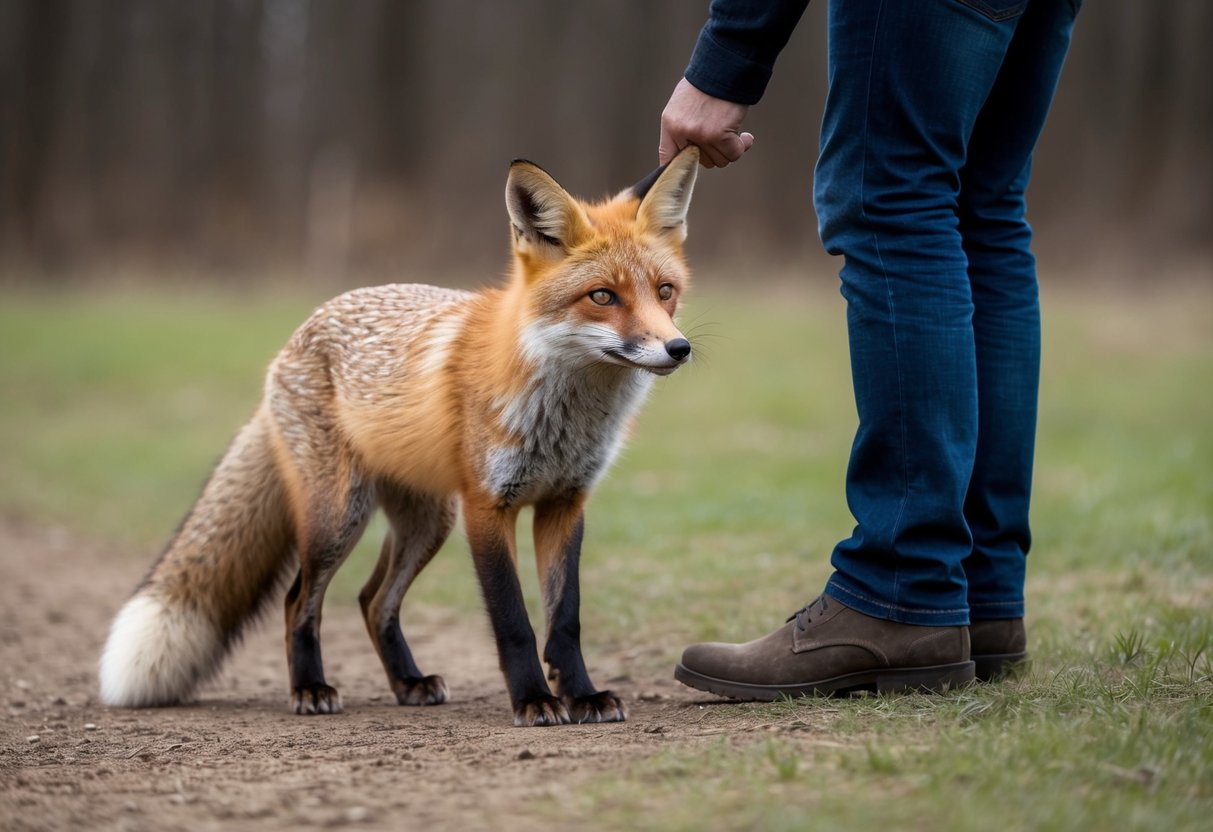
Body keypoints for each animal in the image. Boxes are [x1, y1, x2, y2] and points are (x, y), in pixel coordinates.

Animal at [98, 146, 700, 726]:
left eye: (665, 291)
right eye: (602, 297)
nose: (679, 348)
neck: (565, 416)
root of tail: (294, 338)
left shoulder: (564, 503)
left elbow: (565, 620)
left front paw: (582, 695)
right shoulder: (487, 507)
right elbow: (514, 622)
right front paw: (534, 700)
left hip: (426, 522)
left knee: (372, 599)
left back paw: (408, 682)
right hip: (339, 516)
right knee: (299, 600)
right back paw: (310, 688)